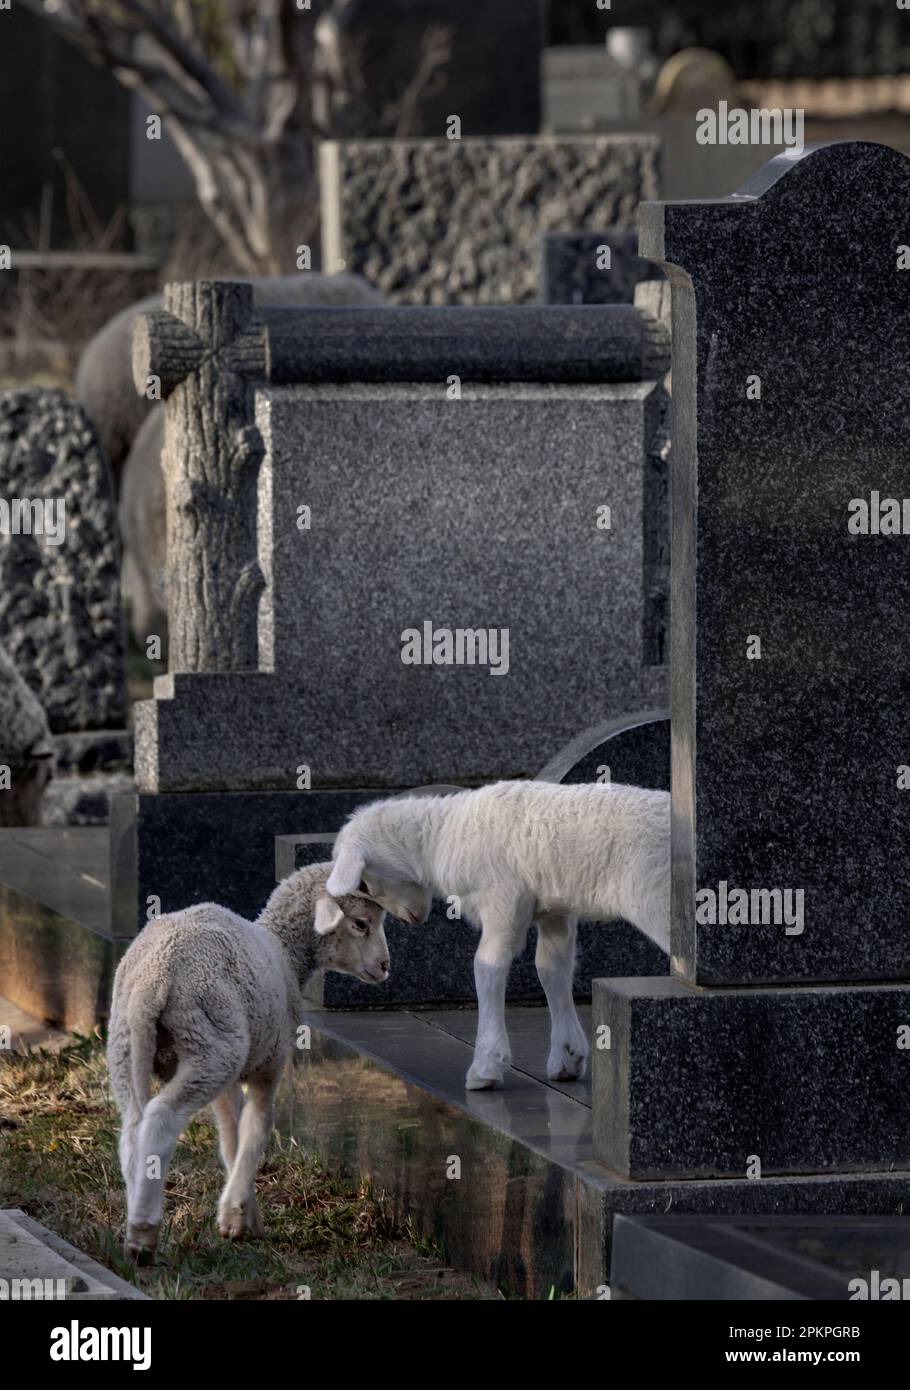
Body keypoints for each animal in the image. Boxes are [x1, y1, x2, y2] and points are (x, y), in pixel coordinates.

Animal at [107, 863, 390, 1260]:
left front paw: (242, 1214)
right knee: (160, 1118)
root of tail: (154, 981)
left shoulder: (231, 1080)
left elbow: (232, 1135)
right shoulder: (269, 1063)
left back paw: (135, 1217)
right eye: (362, 923)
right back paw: (144, 1232)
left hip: (129, 1045)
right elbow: (258, 1127)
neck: (286, 953)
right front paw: (237, 1213)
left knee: (132, 1127)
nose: (385, 967)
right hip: (211, 1043)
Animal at [326, 781, 670, 1091]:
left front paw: (486, 1067)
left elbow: (486, 967)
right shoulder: (553, 909)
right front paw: (567, 1056)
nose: (409, 920)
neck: (438, 839)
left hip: (656, 898)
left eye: (364, 884)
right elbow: (551, 968)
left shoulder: (503, 900)